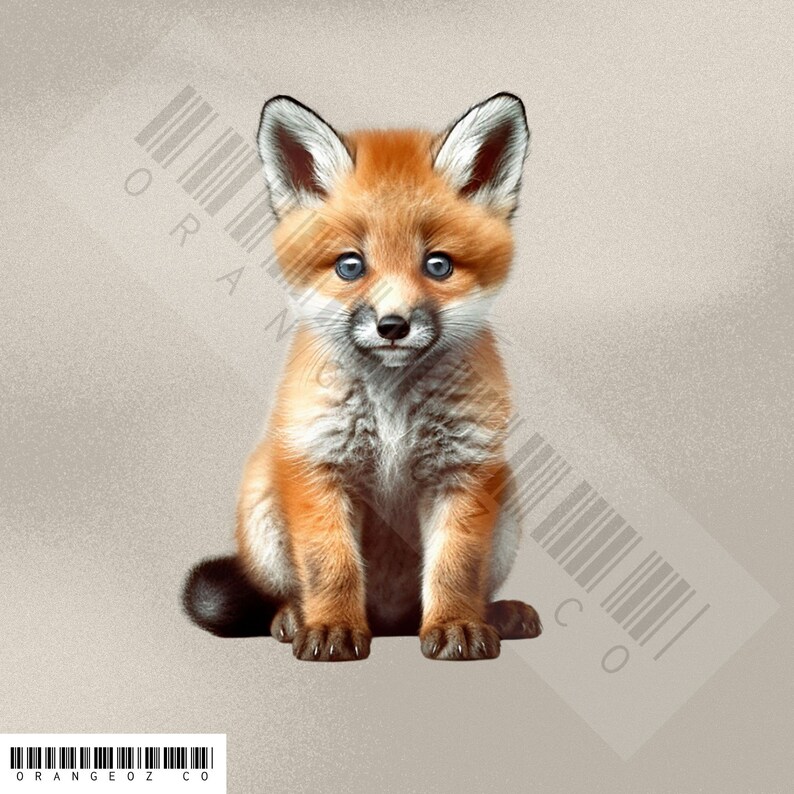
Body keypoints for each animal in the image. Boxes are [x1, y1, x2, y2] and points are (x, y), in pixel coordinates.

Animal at [182, 93, 542, 661]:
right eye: (350, 266)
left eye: (438, 265)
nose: (392, 326)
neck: (391, 409)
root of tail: (392, 620)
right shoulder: (320, 464)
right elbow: (331, 568)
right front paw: (331, 628)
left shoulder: (462, 470)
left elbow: (456, 569)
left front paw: (457, 625)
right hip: (265, 497)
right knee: (288, 591)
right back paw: (293, 618)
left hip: (505, 499)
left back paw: (494, 615)